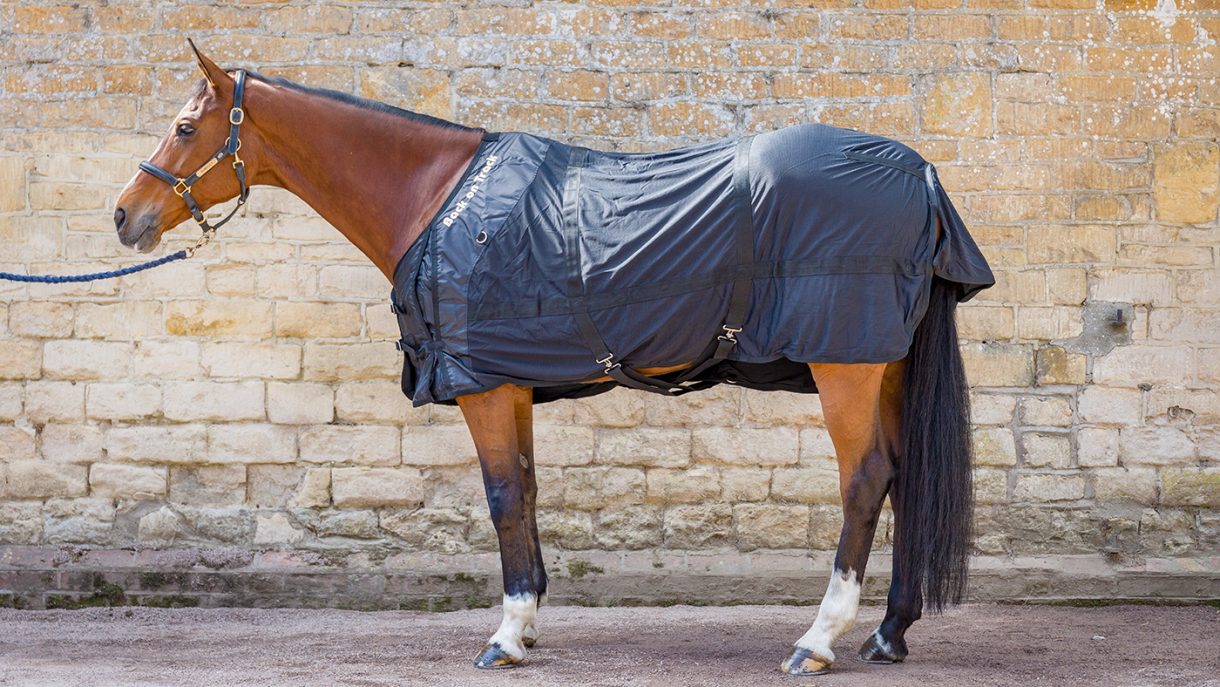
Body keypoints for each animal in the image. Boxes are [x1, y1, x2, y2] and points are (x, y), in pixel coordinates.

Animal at [114, 42, 994, 676]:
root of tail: (919, 175)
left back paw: (817, 639)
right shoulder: (512, 383)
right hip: (883, 363)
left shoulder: (483, 383)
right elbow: (529, 493)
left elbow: (503, 497)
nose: (125, 215)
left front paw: (505, 634)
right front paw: (529, 618)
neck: (438, 201)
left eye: (186, 128)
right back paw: (888, 632)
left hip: (844, 365)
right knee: (904, 475)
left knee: (866, 479)